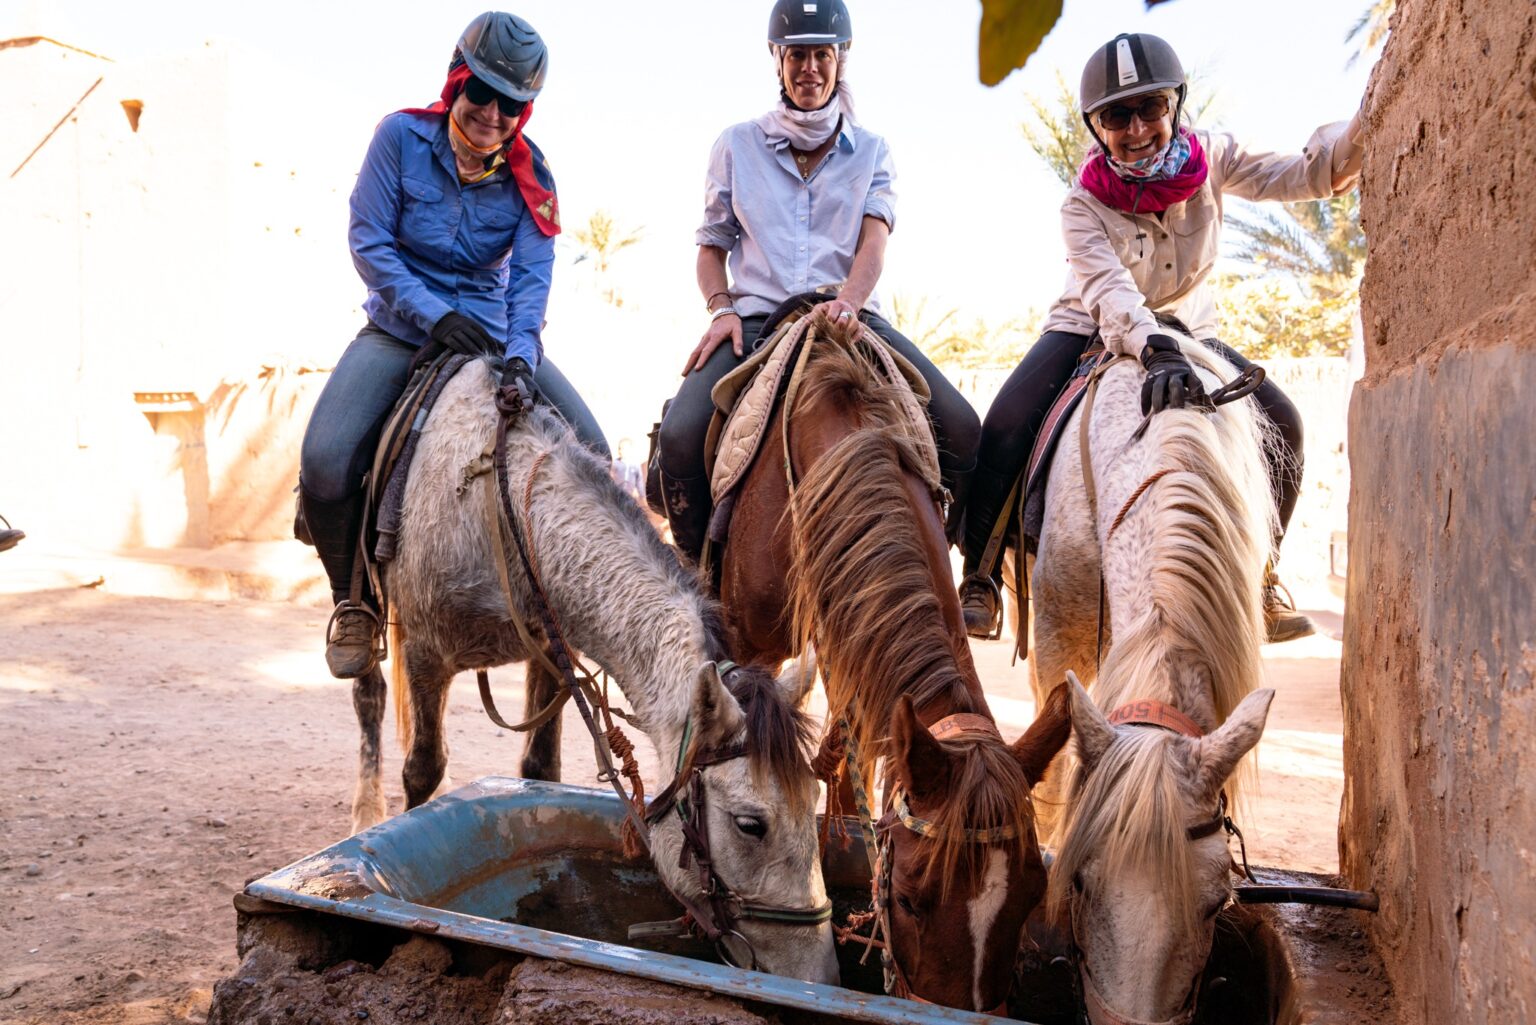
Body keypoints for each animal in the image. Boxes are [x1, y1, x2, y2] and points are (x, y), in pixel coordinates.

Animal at [349, 359, 839, 984]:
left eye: (814, 799)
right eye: (751, 824)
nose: (821, 978)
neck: (502, 512)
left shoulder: (550, 654)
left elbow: (541, 768)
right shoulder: (426, 652)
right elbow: (423, 772)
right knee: (368, 692)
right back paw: (364, 812)